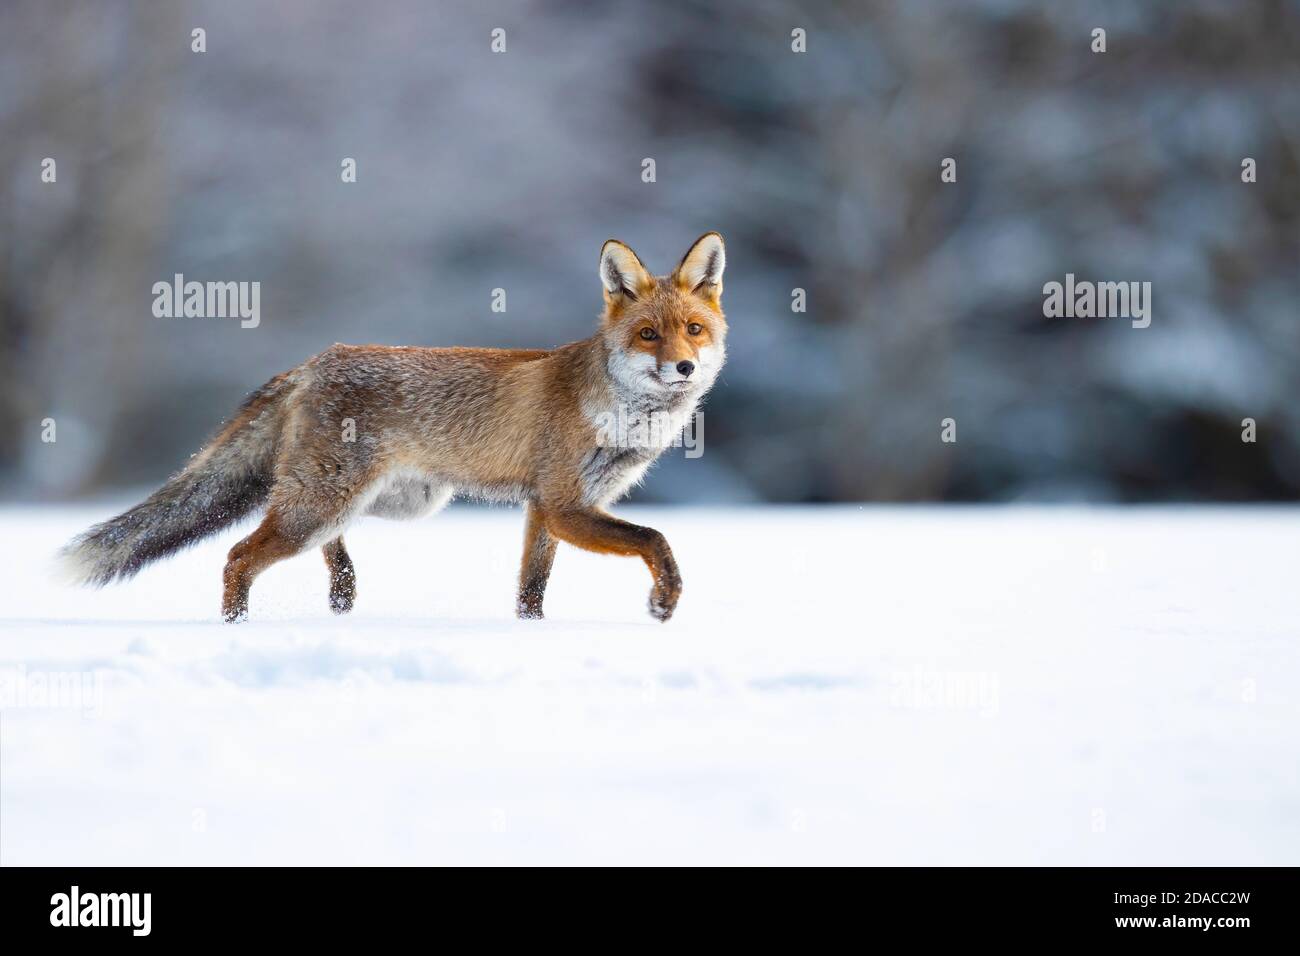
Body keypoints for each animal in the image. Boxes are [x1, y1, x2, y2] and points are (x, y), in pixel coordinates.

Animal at [59, 233, 727, 623]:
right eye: (649, 334)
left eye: (693, 330)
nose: (685, 367)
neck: (622, 416)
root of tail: (314, 361)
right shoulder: (565, 504)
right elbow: (656, 539)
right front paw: (663, 603)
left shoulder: (544, 509)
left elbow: (531, 588)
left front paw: (529, 634)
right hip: (329, 502)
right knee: (238, 556)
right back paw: (236, 629)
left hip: (390, 501)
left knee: (319, 539)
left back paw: (343, 593)